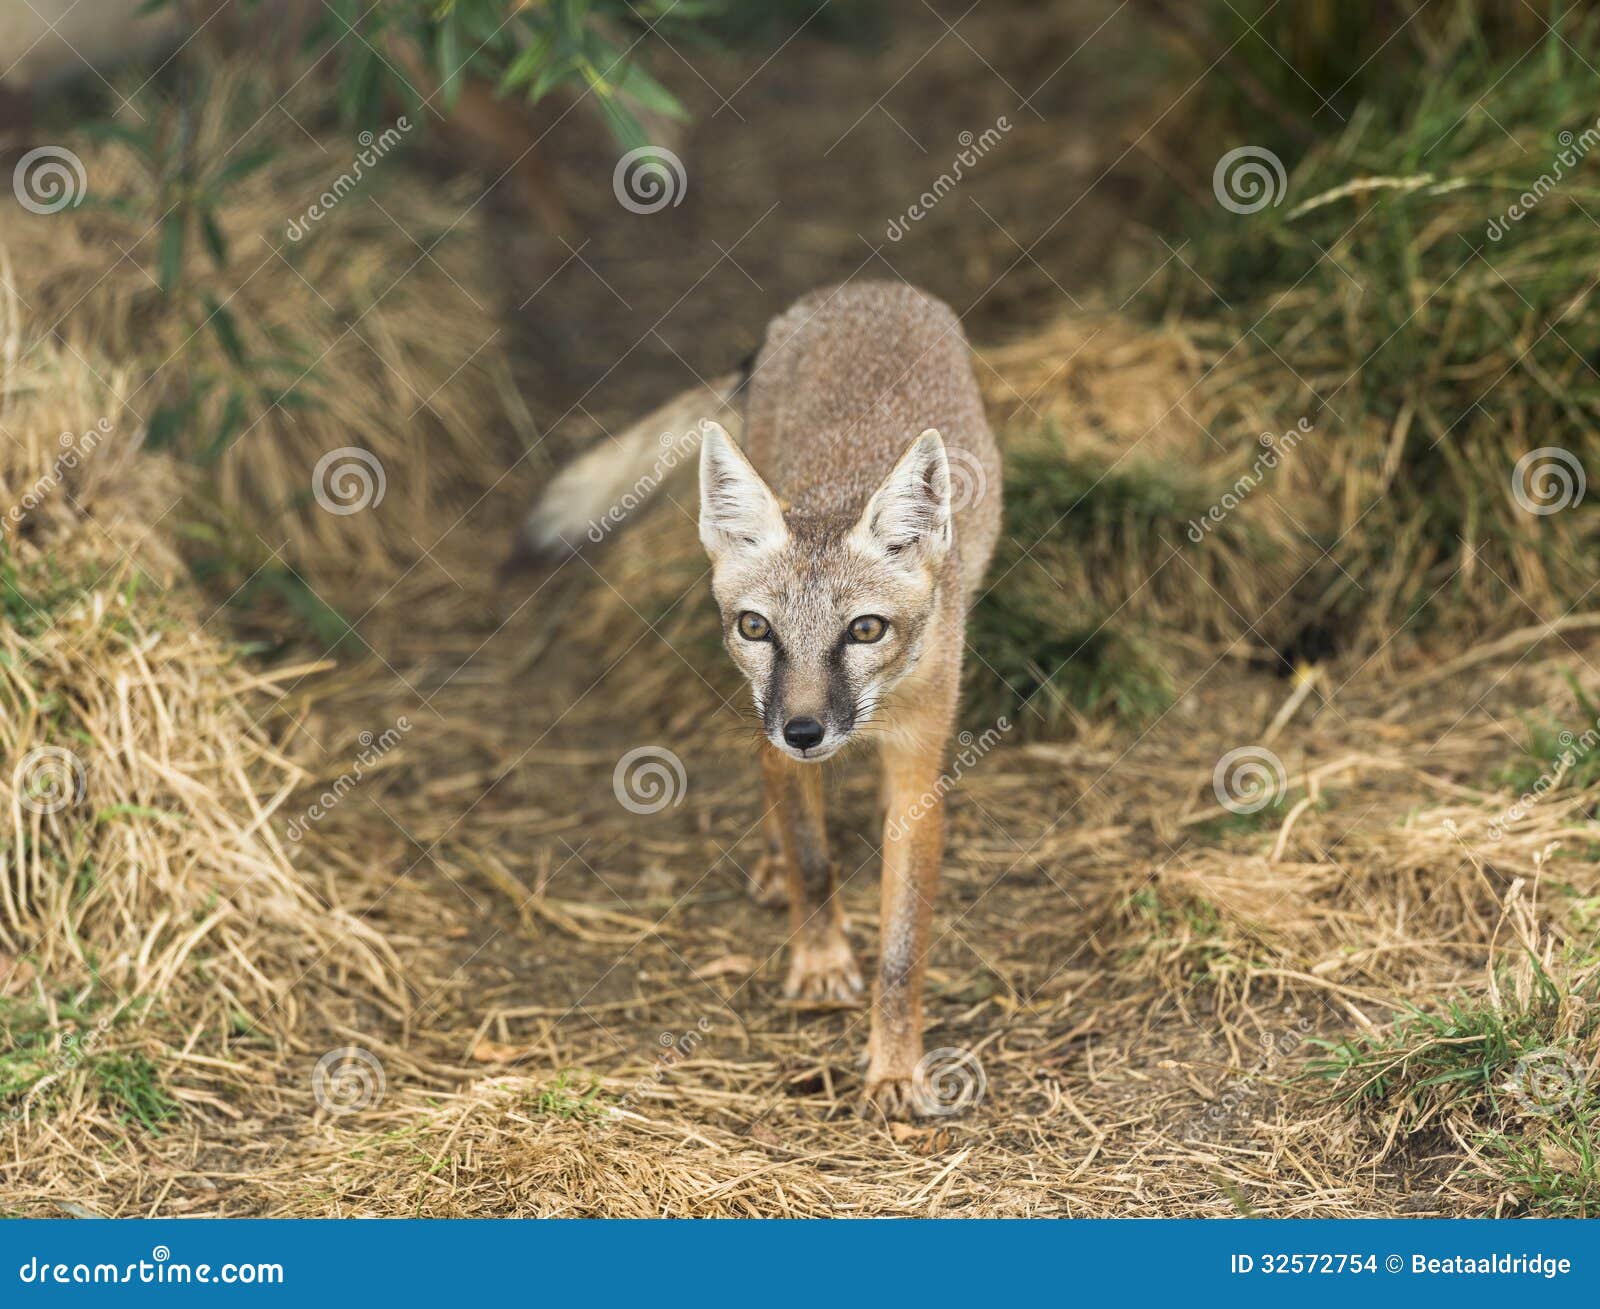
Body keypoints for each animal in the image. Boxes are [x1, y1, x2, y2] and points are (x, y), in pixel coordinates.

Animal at [509, 281, 1001, 1116]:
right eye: (756, 627)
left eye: (865, 629)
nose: (805, 730)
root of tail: (859, 288)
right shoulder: (769, 727)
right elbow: (812, 857)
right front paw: (821, 960)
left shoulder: (919, 768)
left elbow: (903, 947)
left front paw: (895, 1064)